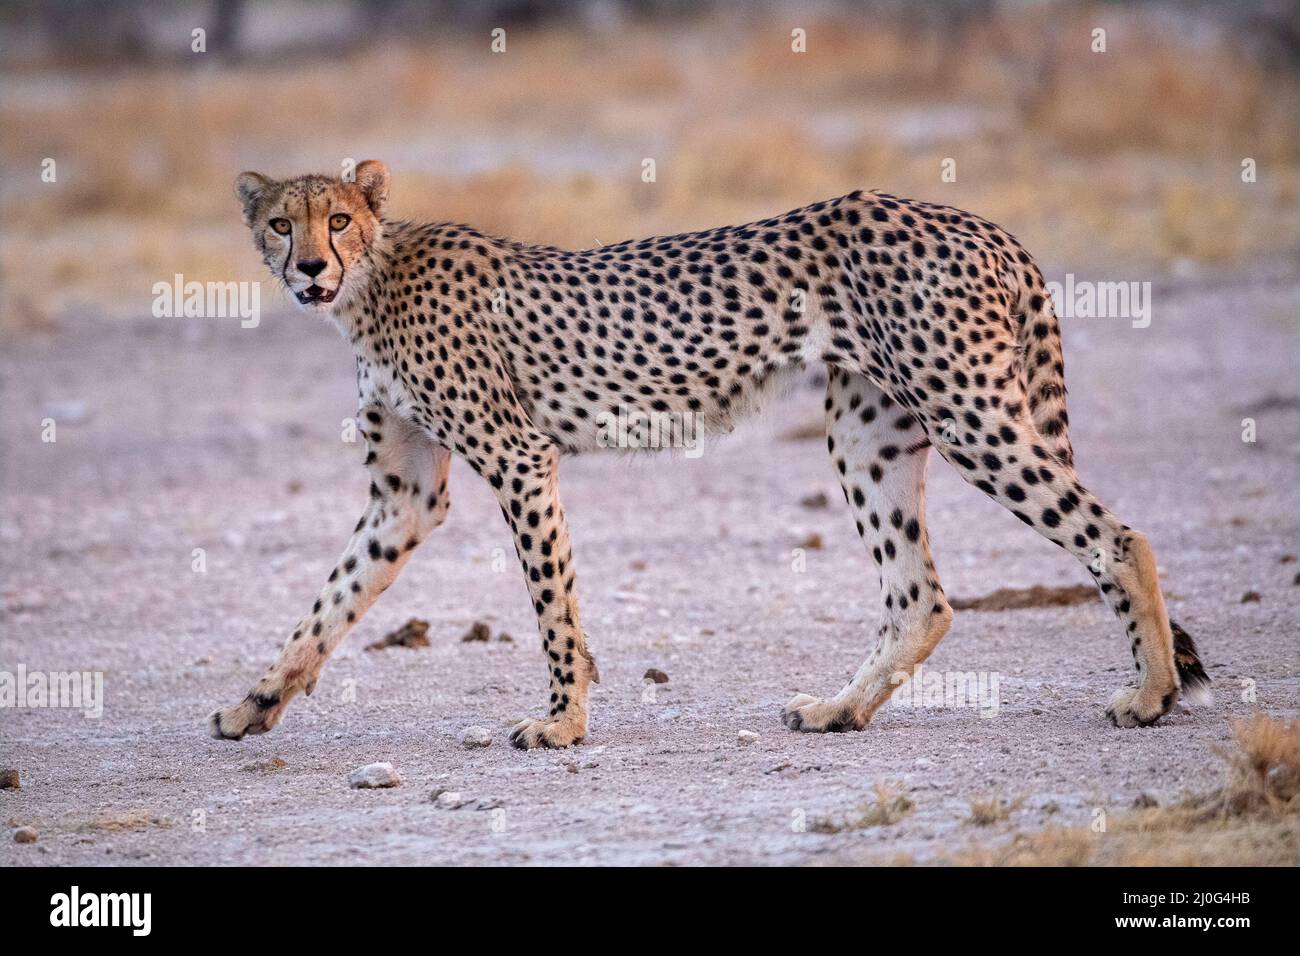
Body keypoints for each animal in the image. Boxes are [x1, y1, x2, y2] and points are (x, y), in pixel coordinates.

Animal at [210, 159, 1211, 749]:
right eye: (282, 224)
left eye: (339, 220)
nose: (309, 267)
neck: (368, 287)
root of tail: (977, 222)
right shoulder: (405, 494)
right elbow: (328, 603)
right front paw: (254, 703)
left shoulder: (519, 456)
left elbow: (551, 606)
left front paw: (562, 720)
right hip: (871, 432)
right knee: (921, 596)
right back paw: (841, 708)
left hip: (969, 413)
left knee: (1116, 537)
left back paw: (1151, 693)